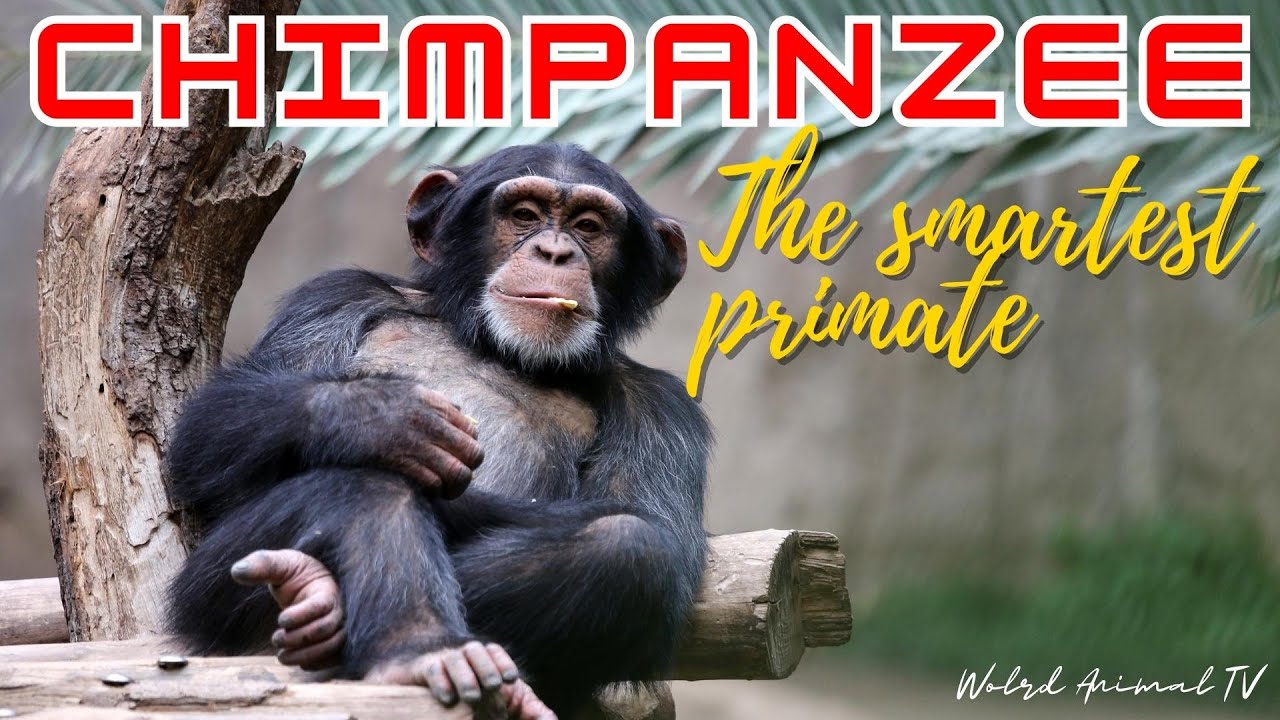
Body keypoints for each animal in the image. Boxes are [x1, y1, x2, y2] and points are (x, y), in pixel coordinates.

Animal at [165, 143, 710, 719]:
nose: (555, 252)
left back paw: (345, 618)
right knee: (365, 489)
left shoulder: (660, 407)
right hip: (207, 588)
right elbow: (208, 433)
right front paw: (385, 420)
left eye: (589, 226)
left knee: (627, 547)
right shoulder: (333, 300)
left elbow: (655, 528)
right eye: (524, 215)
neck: (498, 345)